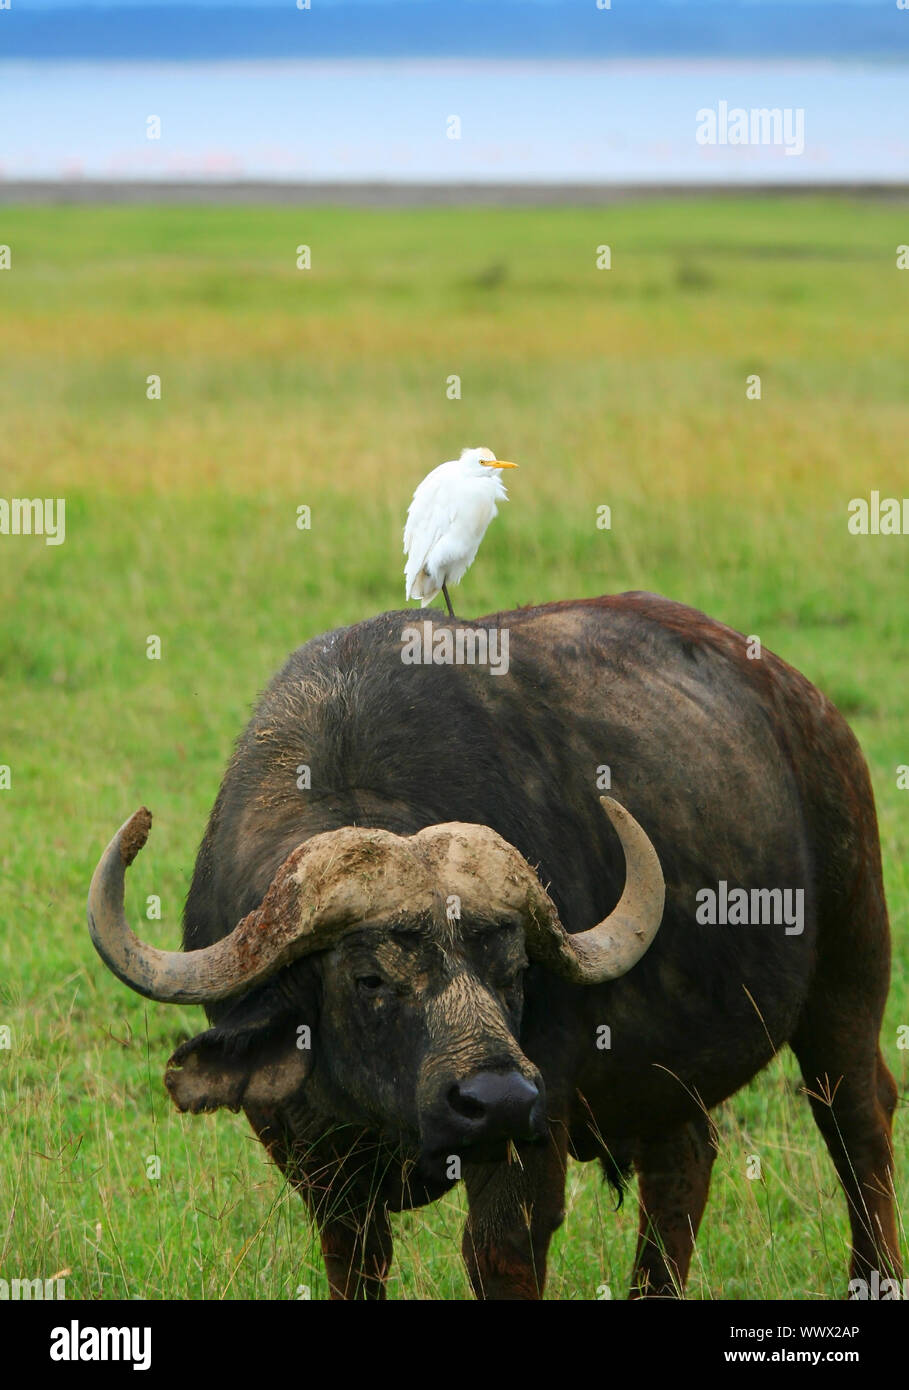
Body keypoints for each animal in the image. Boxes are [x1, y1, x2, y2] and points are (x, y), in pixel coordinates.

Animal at [87, 593, 900, 1299]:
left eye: (512, 974)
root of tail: (811, 711)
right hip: (677, 1073)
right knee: (682, 1167)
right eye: (370, 978)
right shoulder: (310, 1153)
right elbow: (355, 1257)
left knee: (858, 1127)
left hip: (850, 974)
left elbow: (499, 1254)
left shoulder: (532, 1142)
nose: (499, 1101)